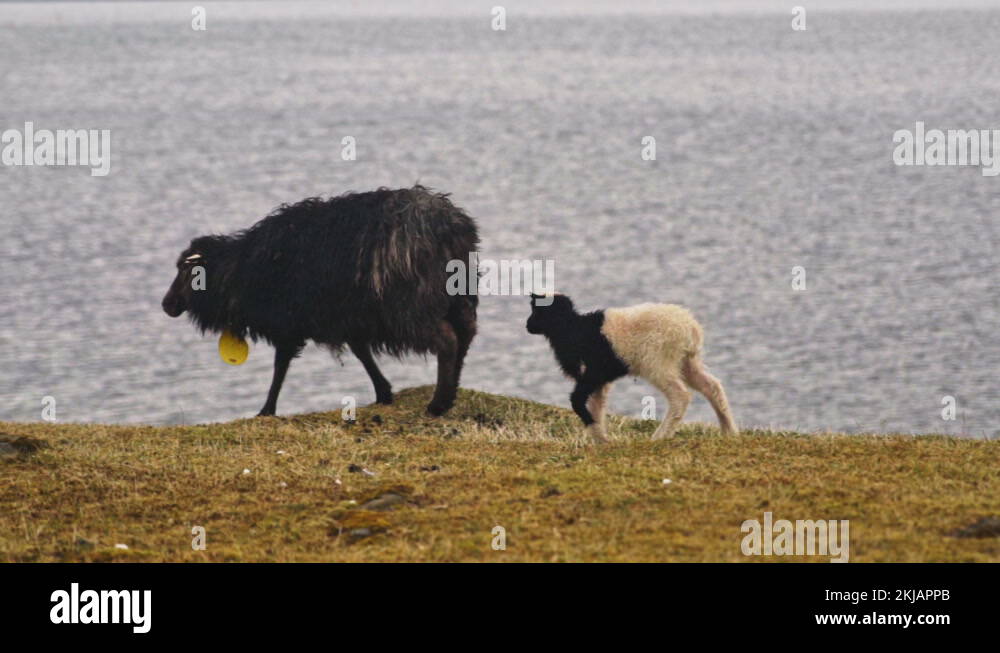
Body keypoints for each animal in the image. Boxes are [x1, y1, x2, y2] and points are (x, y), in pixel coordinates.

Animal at [162, 185, 479, 417]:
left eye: (186, 272)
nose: (167, 305)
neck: (239, 270)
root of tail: (451, 225)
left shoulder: (288, 322)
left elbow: (280, 366)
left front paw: (266, 410)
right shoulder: (348, 316)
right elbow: (362, 352)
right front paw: (383, 392)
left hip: (410, 305)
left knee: (447, 340)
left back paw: (438, 404)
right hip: (458, 297)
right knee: (465, 335)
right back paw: (452, 391)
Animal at [525, 293, 737, 442]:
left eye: (537, 311)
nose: (527, 325)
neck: (571, 329)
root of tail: (692, 328)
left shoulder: (593, 373)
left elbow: (577, 401)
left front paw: (598, 435)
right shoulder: (600, 380)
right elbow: (597, 406)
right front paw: (599, 440)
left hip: (658, 362)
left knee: (680, 395)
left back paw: (660, 436)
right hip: (686, 362)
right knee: (712, 386)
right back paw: (729, 431)